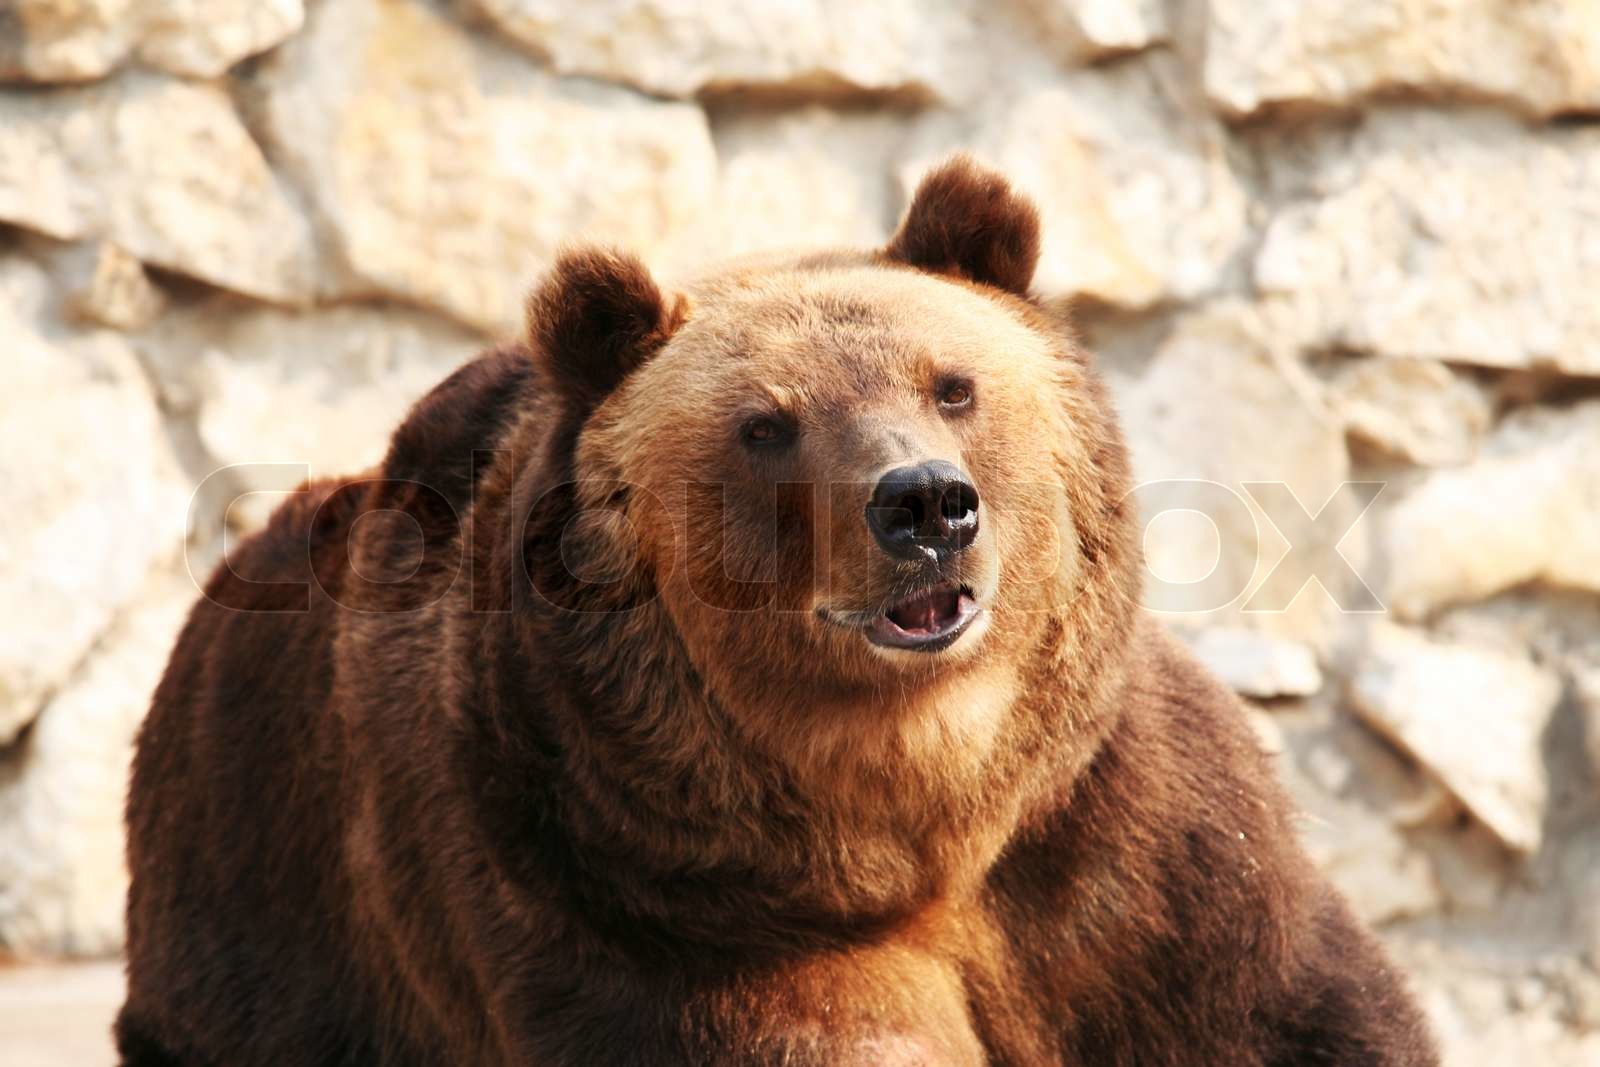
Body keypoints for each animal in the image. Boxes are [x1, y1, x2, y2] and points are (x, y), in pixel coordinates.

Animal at [118, 157, 1438, 1066]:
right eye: (767, 424)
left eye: (951, 384)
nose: (924, 504)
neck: (918, 808)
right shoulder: (643, 890)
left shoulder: (1114, 838)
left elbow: (1288, 1002)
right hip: (263, 910)